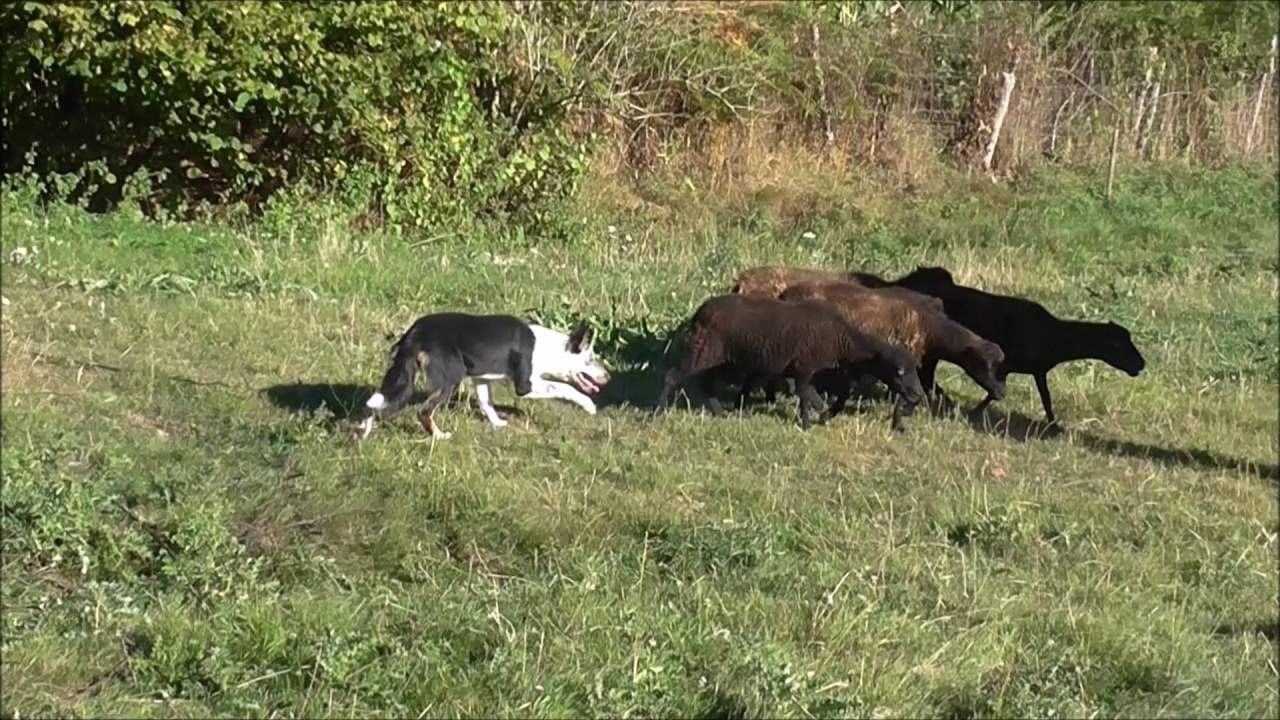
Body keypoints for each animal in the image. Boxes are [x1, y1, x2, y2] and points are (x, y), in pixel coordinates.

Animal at [654, 294, 925, 431]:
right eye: (900, 372)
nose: (917, 396)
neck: (842, 338)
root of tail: (700, 312)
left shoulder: (817, 370)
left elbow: (817, 395)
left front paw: (812, 419)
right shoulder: (805, 366)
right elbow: (806, 393)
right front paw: (816, 418)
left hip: (719, 359)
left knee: (707, 382)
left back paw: (719, 412)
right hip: (703, 352)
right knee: (672, 376)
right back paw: (656, 412)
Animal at [890, 266, 1146, 424]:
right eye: (1121, 345)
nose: (1141, 364)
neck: (1054, 334)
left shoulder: (1038, 371)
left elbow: (1046, 398)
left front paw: (1053, 425)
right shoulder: (1002, 365)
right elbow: (994, 392)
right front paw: (974, 412)